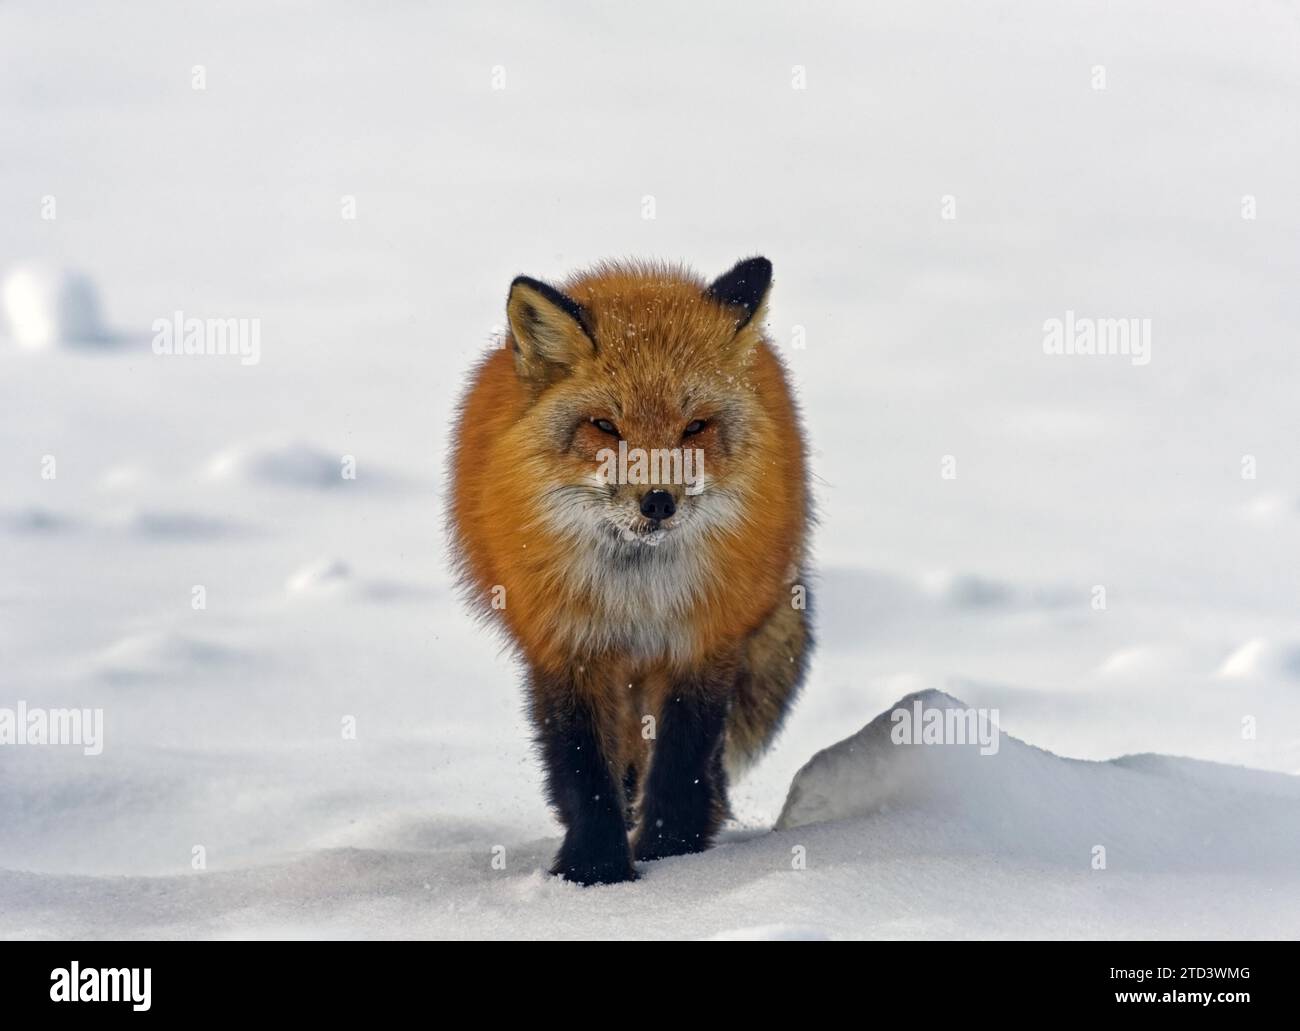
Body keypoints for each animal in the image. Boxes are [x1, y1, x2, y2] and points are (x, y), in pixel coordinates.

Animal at [449, 256, 812, 885]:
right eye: (605, 426)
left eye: (694, 427)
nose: (658, 502)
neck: (638, 591)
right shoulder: (568, 645)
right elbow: (583, 763)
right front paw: (596, 870)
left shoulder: (702, 641)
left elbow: (683, 756)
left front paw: (673, 850)